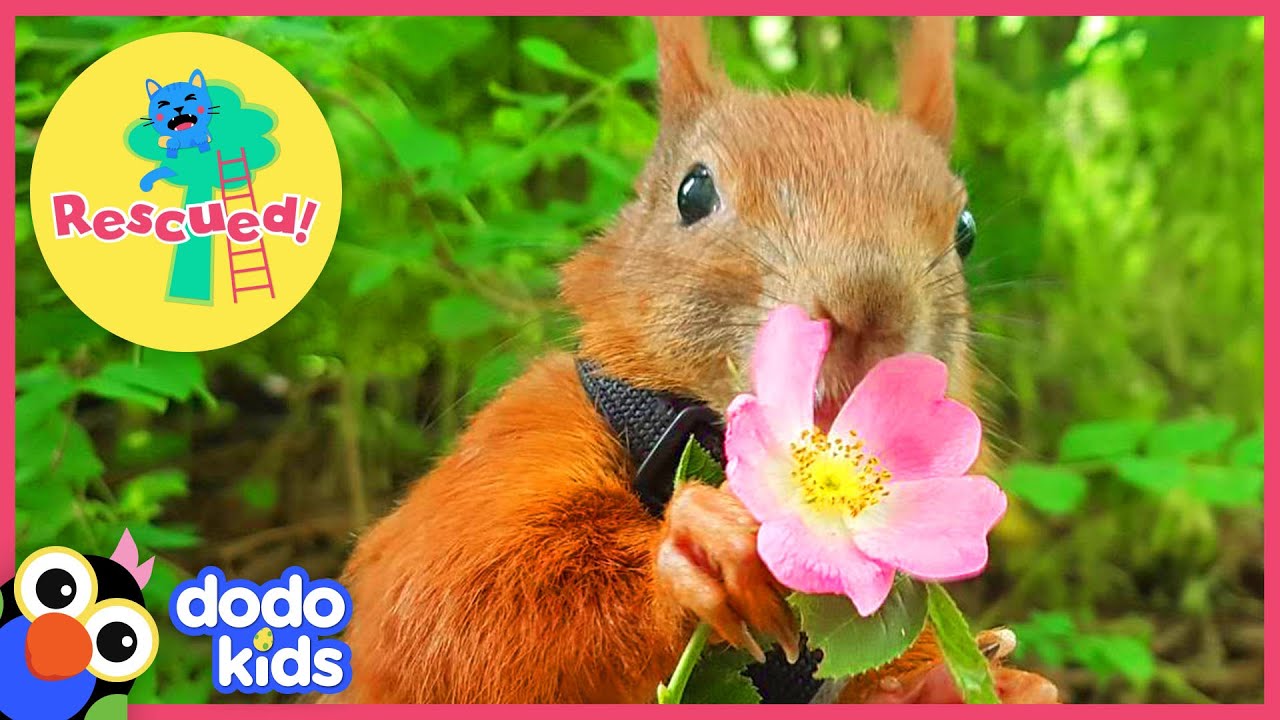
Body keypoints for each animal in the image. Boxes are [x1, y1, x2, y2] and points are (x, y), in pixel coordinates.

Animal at [336, 16, 1059, 704]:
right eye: (694, 193)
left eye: (965, 231)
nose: (870, 308)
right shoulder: (515, 447)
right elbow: (442, 618)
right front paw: (694, 545)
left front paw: (966, 684)